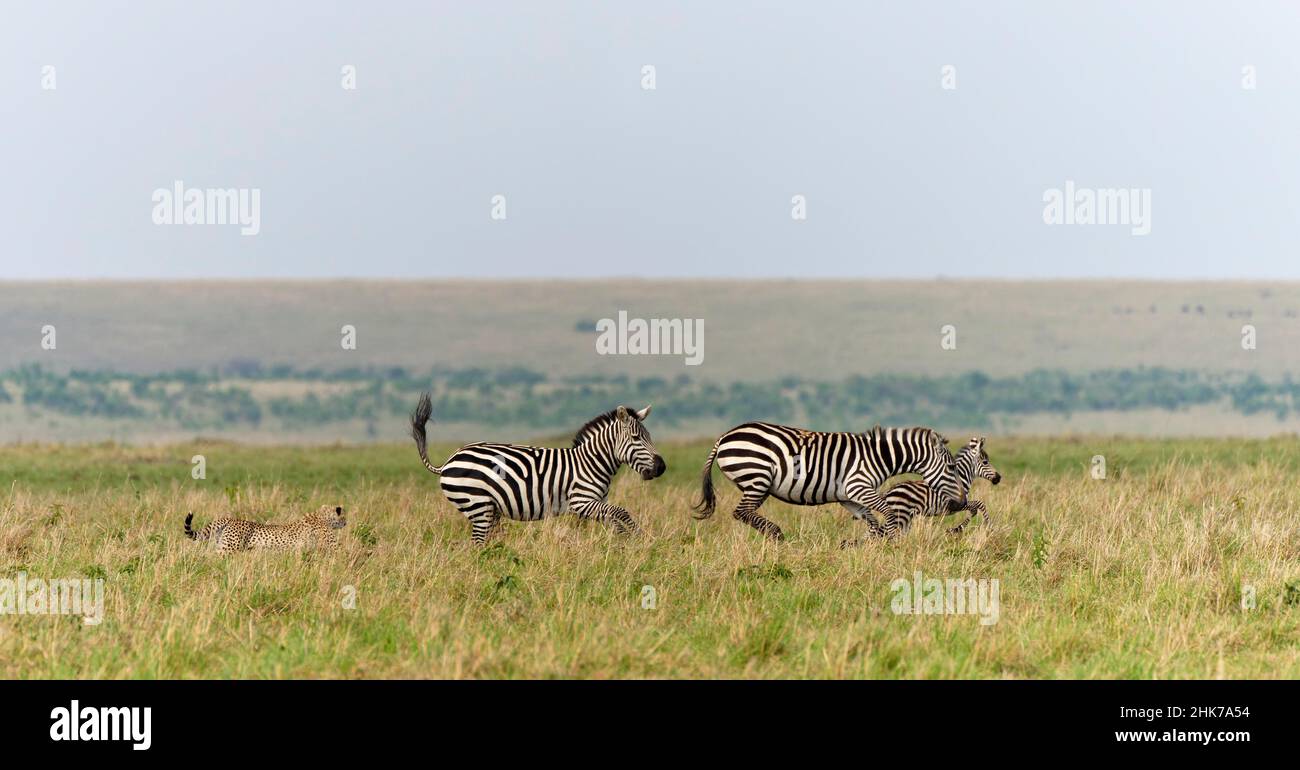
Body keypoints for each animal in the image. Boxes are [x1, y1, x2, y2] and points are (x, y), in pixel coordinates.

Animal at [184, 505, 347, 552]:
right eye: (344, 516)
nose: (346, 522)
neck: (322, 516)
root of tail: (231, 518)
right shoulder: (331, 547)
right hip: (227, 549)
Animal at [410, 393, 666, 543]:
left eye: (649, 437)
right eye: (636, 438)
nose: (661, 467)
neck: (592, 462)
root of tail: (449, 461)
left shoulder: (596, 503)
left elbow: (614, 518)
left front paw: (621, 543)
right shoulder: (581, 502)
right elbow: (621, 512)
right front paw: (639, 539)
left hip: (488, 509)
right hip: (477, 504)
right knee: (478, 544)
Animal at [693, 422, 961, 541]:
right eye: (951, 468)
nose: (961, 503)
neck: (879, 457)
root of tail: (724, 436)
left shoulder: (848, 496)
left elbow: (872, 521)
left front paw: (869, 544)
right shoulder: (859, 486)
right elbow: (888, 512)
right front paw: (890, 539)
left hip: (756, 483)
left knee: (744, 512)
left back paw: (772, 535)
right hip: (757, 477)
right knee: (741, 511)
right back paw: (776, 534)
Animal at [842, 436, 1002, 546]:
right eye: (985, 462)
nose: (998, 478)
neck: (960, 478)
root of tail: (890, 491)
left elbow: (974, 509)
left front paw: (955, 529)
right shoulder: (954, 505)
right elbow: (979, 505)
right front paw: (988, 527)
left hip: (904, 517)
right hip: (901, 516)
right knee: (880, 534)